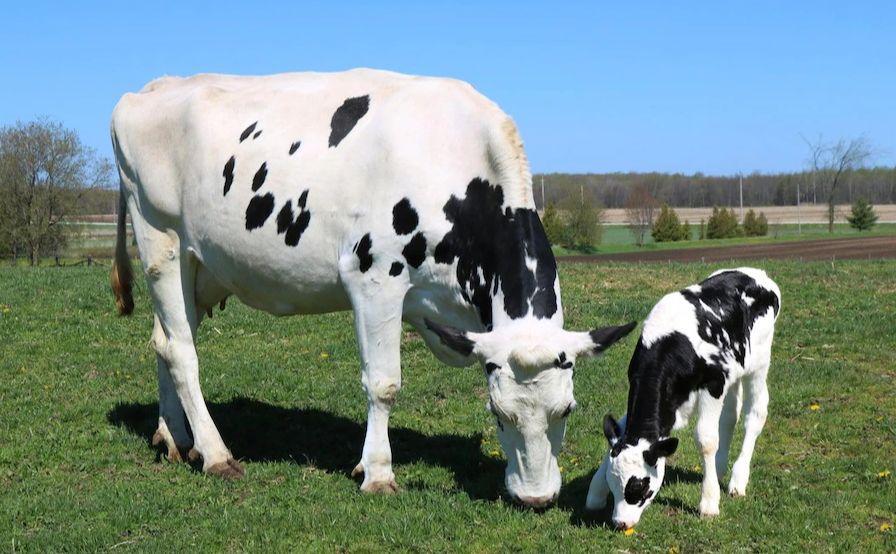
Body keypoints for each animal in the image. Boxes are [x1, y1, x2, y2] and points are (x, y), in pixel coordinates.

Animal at [110, 69, 635, 507]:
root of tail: (152, 87)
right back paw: (216, 453)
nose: (536, 498)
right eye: (497, 412)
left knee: (163, 341)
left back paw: (173, 437)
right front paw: (378, 472)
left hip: (200, 267)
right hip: (162, 242)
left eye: (566, 410)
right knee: (182, 352)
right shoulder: (374, 279)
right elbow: (383, 384)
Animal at [585, 268, 780, 528]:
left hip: (758, 364)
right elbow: (621, 430)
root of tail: (757, 273)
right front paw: (595, 492)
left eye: (641, 487)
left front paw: (709, 503)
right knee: (730, 415)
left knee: (755, 414)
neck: (671, 345)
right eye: (613, 484)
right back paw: (719, 469)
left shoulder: (714, 383)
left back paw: (738, 480)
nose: (620, 523)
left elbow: (706, 439)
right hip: (735, 370)